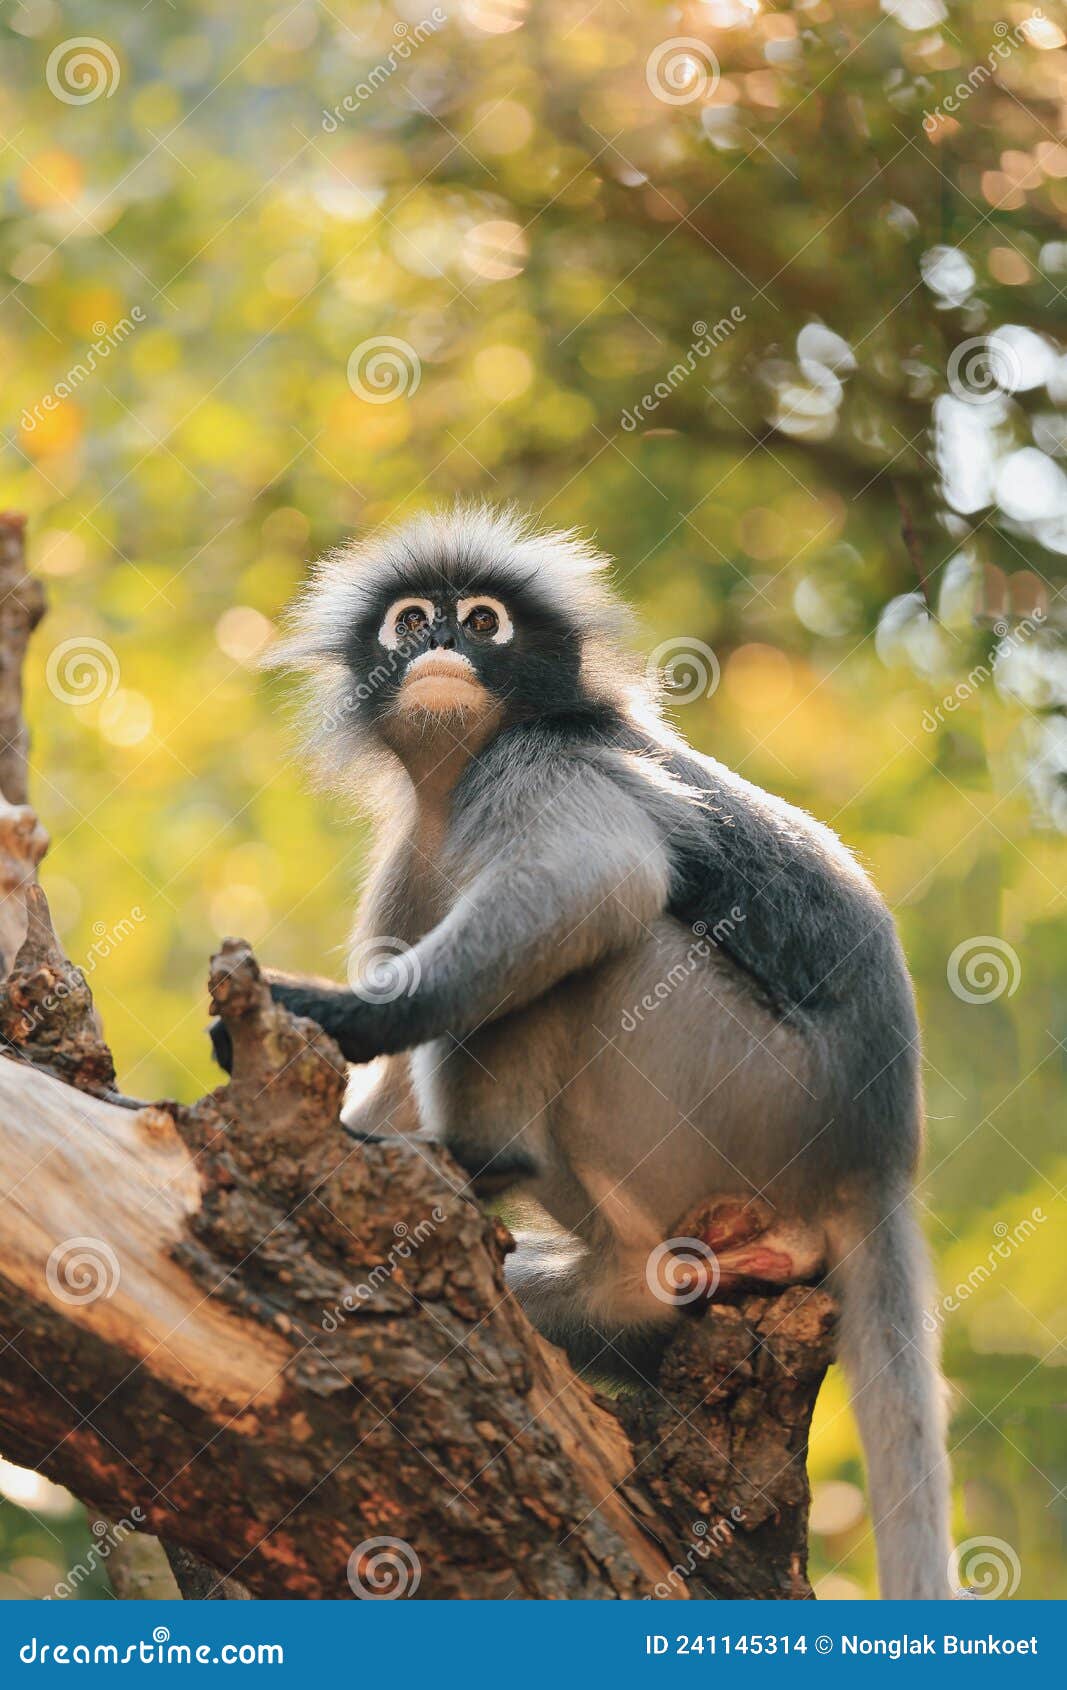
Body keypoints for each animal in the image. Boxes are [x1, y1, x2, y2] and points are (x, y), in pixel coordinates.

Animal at [210, 503, 952, 1601]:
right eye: (411, 620)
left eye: (483, 622)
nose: (441, 641)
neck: (455, 780)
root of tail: (879, 1162)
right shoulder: (414, 852)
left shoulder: (539, 763)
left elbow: (596, 877)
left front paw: (348, 1016)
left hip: (737, 1101)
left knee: (607, 939)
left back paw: (484, 1158)